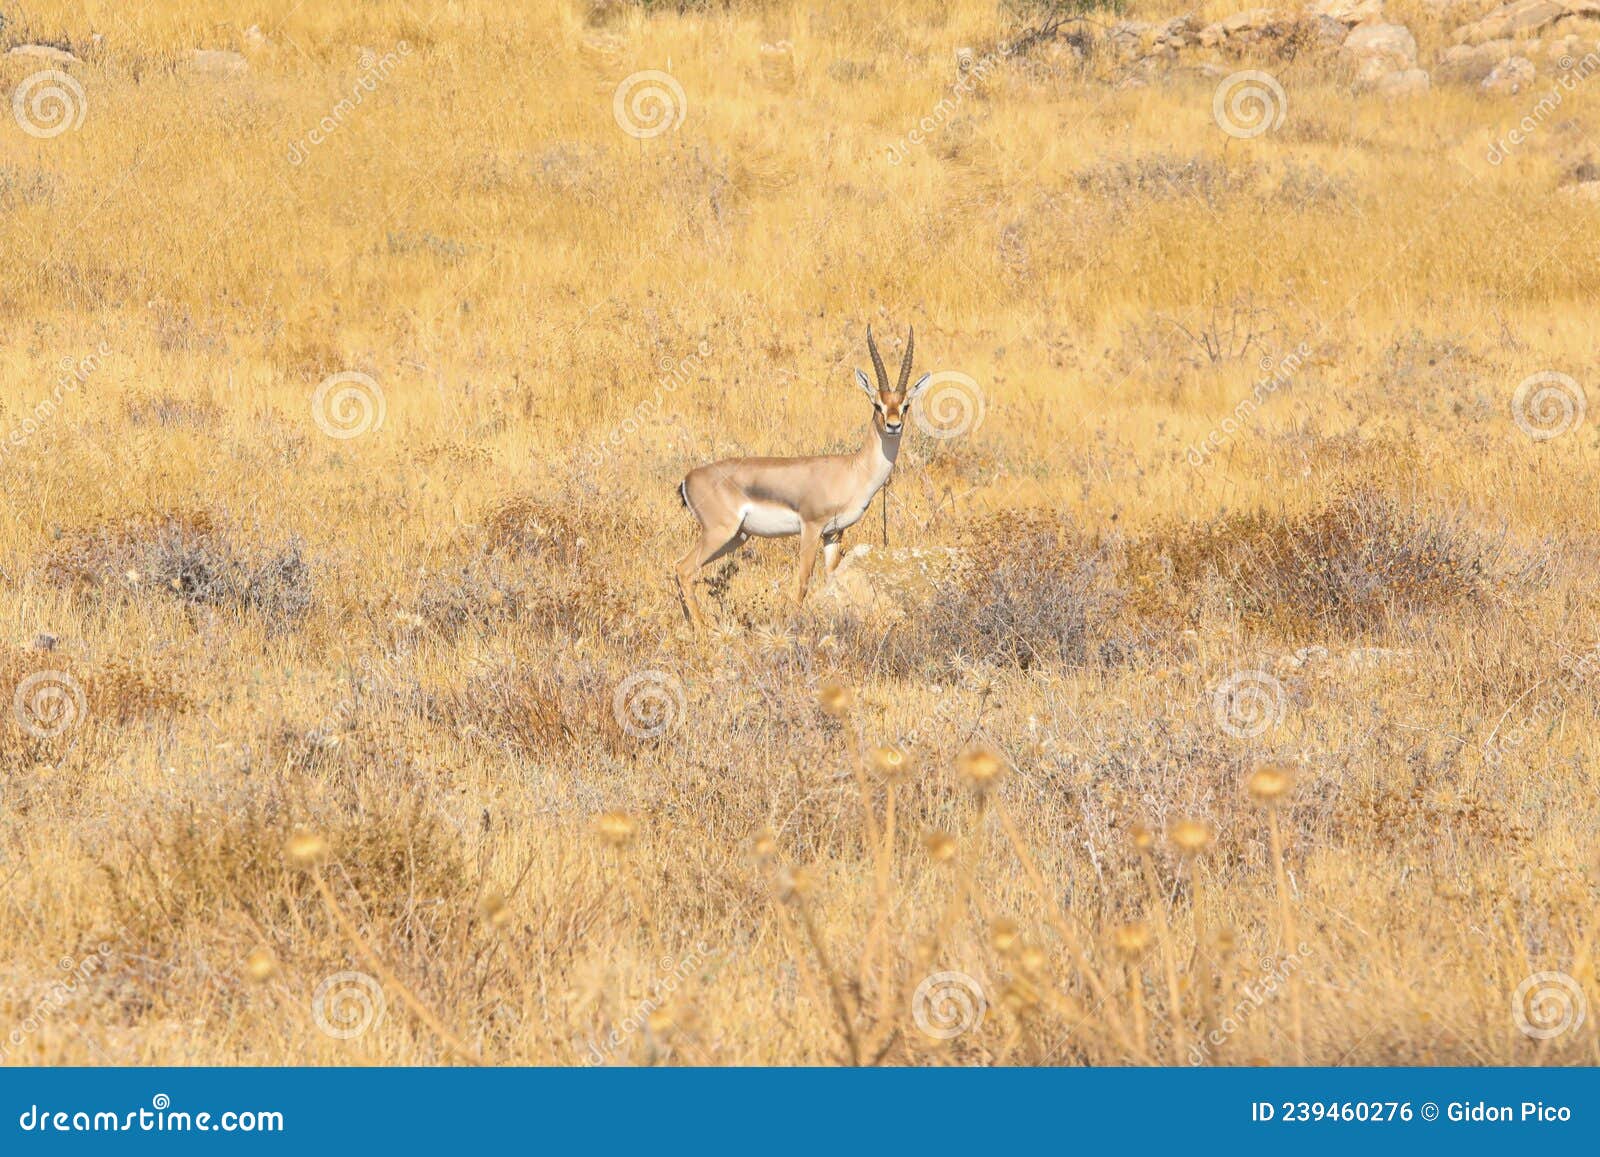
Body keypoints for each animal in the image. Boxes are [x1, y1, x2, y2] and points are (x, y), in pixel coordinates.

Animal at [675, 327, 930, 631]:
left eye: (905, 405)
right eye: (877, 404)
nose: (893, 426)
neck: (851, 471)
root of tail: (688, 478)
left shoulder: (833, 533)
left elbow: (832, 579)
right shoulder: (810, 527)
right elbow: (803, 581)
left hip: (737, 536)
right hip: (720, 532)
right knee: (683, 569)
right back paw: (702, 630)